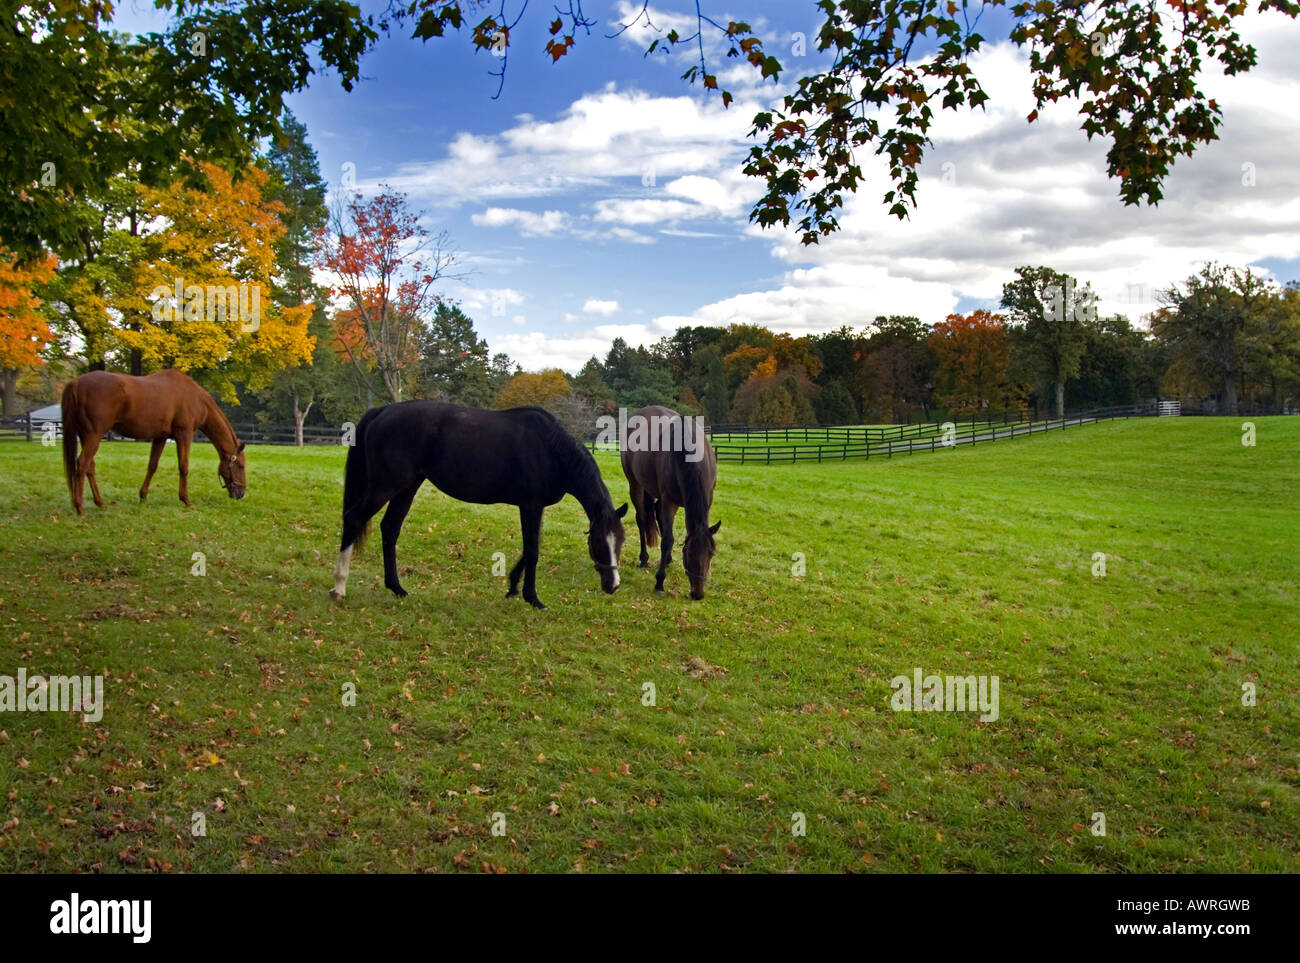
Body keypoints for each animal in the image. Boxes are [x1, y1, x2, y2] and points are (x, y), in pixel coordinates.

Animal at [61, 369, 246, 515]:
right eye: (241, 466)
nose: (241, 493)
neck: (196, 398)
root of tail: (76, 382)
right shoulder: (184, 434)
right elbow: (184, 467)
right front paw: (186, 500)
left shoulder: (160, 437)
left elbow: (152, 466)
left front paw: (143, 496)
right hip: (94, 435)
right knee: (82, 464)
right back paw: (79, 507)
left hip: (86, 436)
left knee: (89, 467)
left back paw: (100, 503)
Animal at [328, 401, 628, 610]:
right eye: (598, 542)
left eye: (621, 541)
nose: (613, 585)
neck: (550, 449)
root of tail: (382, 411)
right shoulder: (531, 505)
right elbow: (533, 551)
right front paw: (533, 598)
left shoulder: (534, 507)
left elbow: (530, 548)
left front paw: (512, 587)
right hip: (385, 485)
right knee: (354, 518)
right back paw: (339, 588)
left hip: (407, 487)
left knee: (390, 529)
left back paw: (397, 588)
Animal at [620, 405, 720, 600]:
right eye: (688, 554)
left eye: (711, 554)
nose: (698, 594)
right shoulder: (669, 501)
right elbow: (667, 539)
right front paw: (659, 582)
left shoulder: (707, 500)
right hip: (635, 484)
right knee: (641, 519)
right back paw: (644, 559)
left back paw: (666, 559)